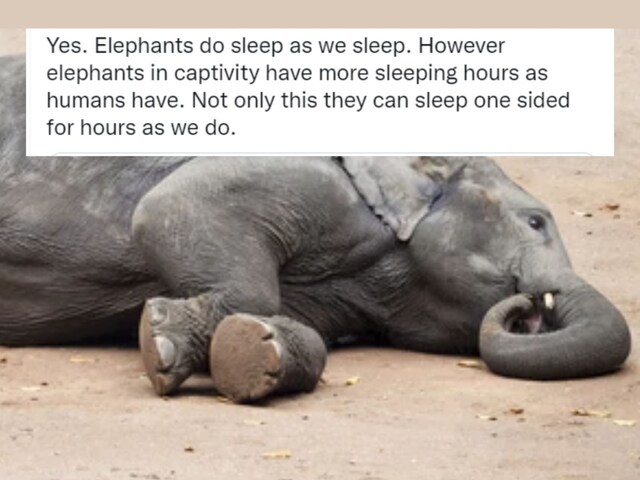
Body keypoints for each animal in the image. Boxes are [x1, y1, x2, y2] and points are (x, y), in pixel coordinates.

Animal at [0, 54, 632, 403]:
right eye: (535, 221)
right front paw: (160, 343)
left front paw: (248, 353)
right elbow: (171, 207)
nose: (528, 303)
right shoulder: (307, 175)